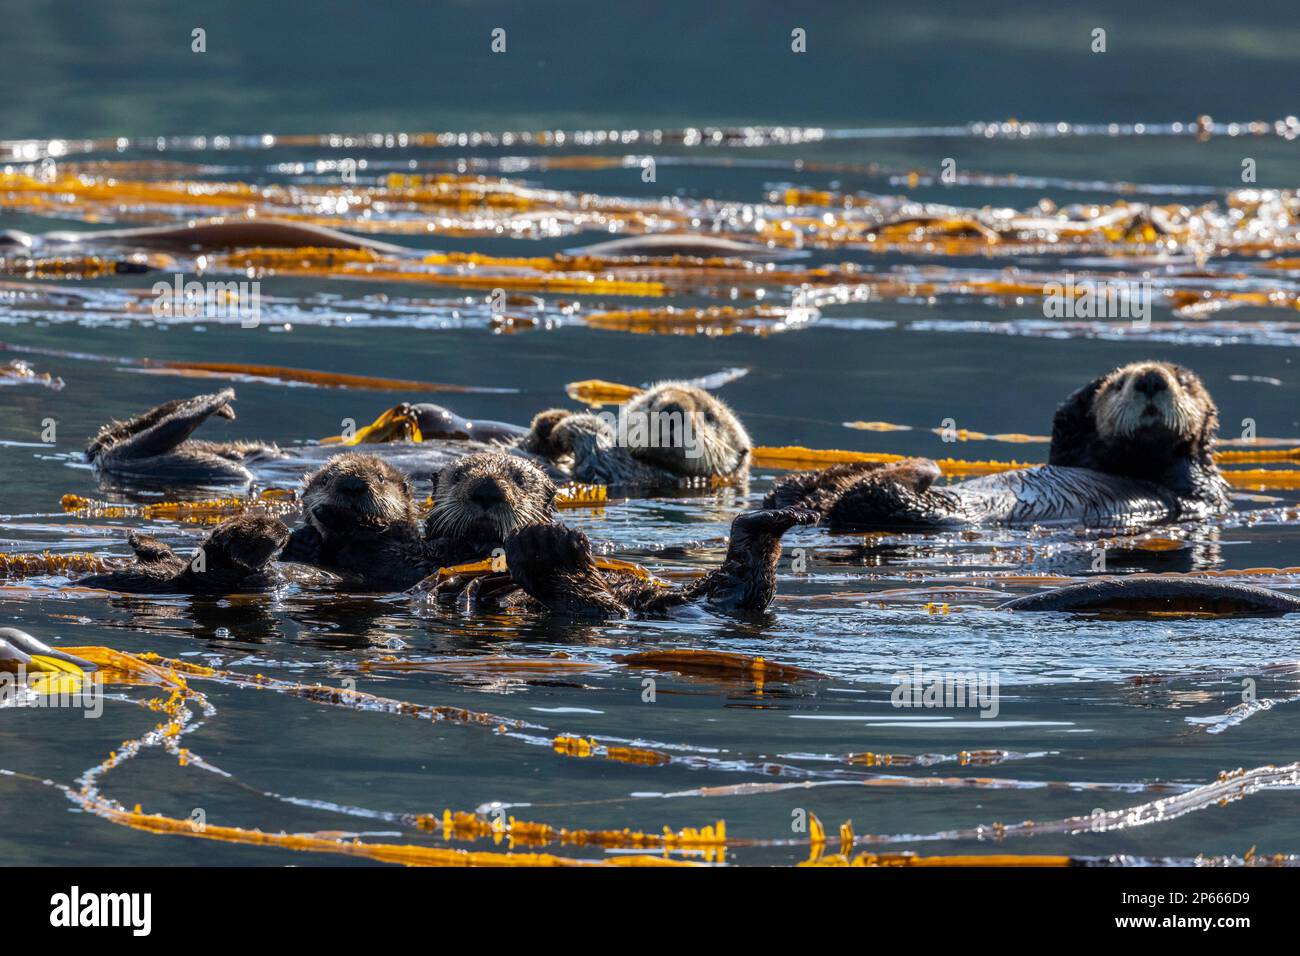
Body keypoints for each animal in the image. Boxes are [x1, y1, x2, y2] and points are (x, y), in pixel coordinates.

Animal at [519, 381, 752, 487]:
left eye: (710, 417)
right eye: (651, 402)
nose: (673, 408)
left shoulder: (629, 473)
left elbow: (601, 455)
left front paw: (569, 424)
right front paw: (552, 420)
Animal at [765, 361, 1230, 530]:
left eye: (1185, 383)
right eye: (1119, 386)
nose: (1150, 379)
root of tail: (818, 510)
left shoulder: (1198, 497)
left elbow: (1197, 479)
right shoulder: (1072, 450)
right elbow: (1064, 433)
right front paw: (1088, 390)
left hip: (917, 510)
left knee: (876, 495)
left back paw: (915, 467)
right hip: (798, 490)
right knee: (798, 487)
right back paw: (854, 468)